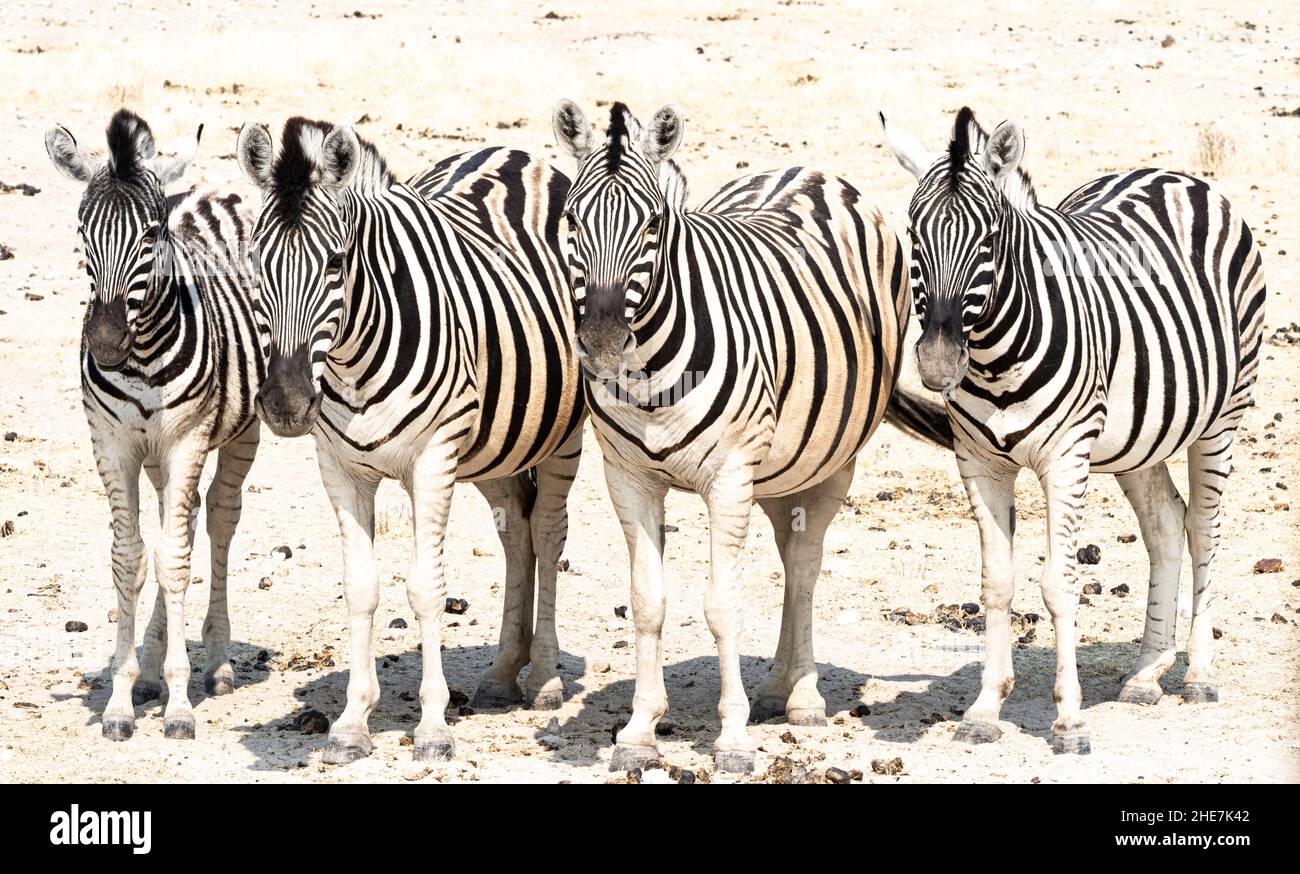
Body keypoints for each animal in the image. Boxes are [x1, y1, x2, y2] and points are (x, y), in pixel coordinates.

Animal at [45, 110, 264, 743]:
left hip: (240, 430)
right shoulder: (113, 444)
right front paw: (124, 695)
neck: (141, 358)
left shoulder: (187, 439)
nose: (106, 343)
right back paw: (150, 667)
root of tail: (207, 192)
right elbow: (133, 558)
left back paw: (216, 665)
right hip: (159, 458)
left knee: (216, 520)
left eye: (149, 235)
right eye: (82, 232)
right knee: (177, 529)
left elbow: (177, 561)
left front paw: (181, 703)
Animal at [235, 118, 584, 764]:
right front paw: (351, 722)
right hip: (497, 444)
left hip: (560, 433)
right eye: (256, 261)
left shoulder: (433, 458)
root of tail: (512, 151)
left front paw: (433, 728)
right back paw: (504, 673)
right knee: (517, 535)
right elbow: (360, 588)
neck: (351, 360)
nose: (287, 404)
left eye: (336, 263)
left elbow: (426, 589)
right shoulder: (339, 466)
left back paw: (545, 676)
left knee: (548, 532)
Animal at [551, 100, 909, 773]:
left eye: (653, 223)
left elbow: (721, 604)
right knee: (791, 552)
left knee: (806, 566)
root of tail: (808, 169)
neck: (652, 377)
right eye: (570, 219)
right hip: (780, 468)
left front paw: (734, 738)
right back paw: (777, 688)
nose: (604, 344)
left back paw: (802, 698)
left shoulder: (728, 477)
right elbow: (647, 601)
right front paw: (639, 730)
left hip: (831, 460)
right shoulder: (628, 476)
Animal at [880, 106, 1266, 753]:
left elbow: (1059, 585)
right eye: (913, 236)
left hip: (1223, 416)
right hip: (1139, 438)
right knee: (1167, 524)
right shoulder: (978, 461)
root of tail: (1171, 175)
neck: (995, 358)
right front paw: (985, 710)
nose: (936, 364)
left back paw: (1198, 676)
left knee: (1204, 531)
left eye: (989, 240)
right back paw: (1146, 674)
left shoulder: (1065, 458)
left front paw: (1069, 720)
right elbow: (997, 584)